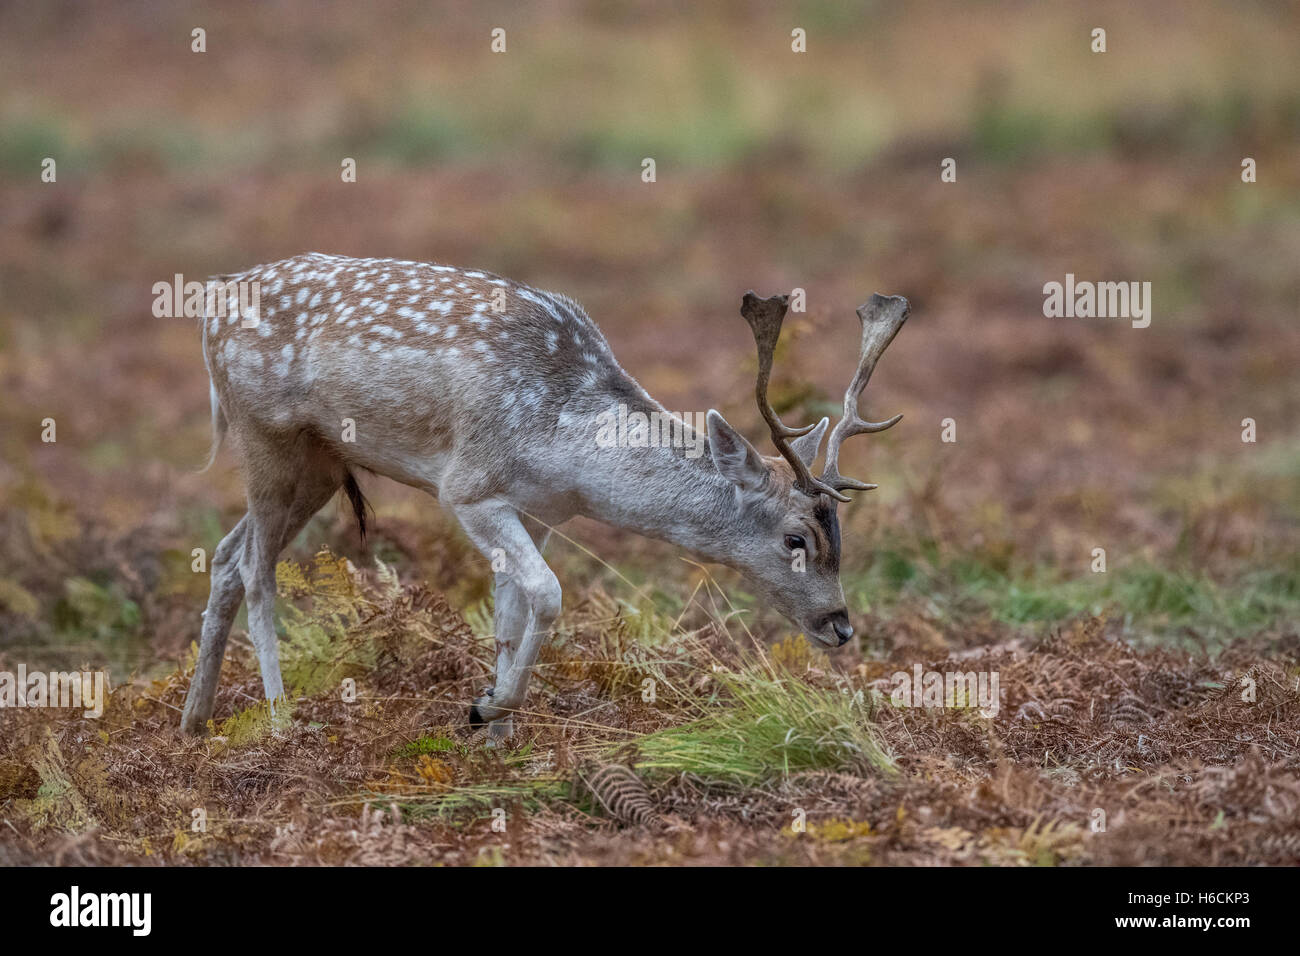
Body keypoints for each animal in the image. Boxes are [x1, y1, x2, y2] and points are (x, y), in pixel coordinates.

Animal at [180, 252, 910, 742]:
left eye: (841, 535)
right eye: (795, 538)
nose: (841, 625)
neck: (568, 448)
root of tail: (213, 299)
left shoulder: (541, 512)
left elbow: (510, 611)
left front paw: (497, 735)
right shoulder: (469, 488)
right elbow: (550, 594)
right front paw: (487, 710)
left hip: (322, 465)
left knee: (226, 555)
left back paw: (193, 720)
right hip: (264, 435)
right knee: (256, 567)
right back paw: (280, 718)